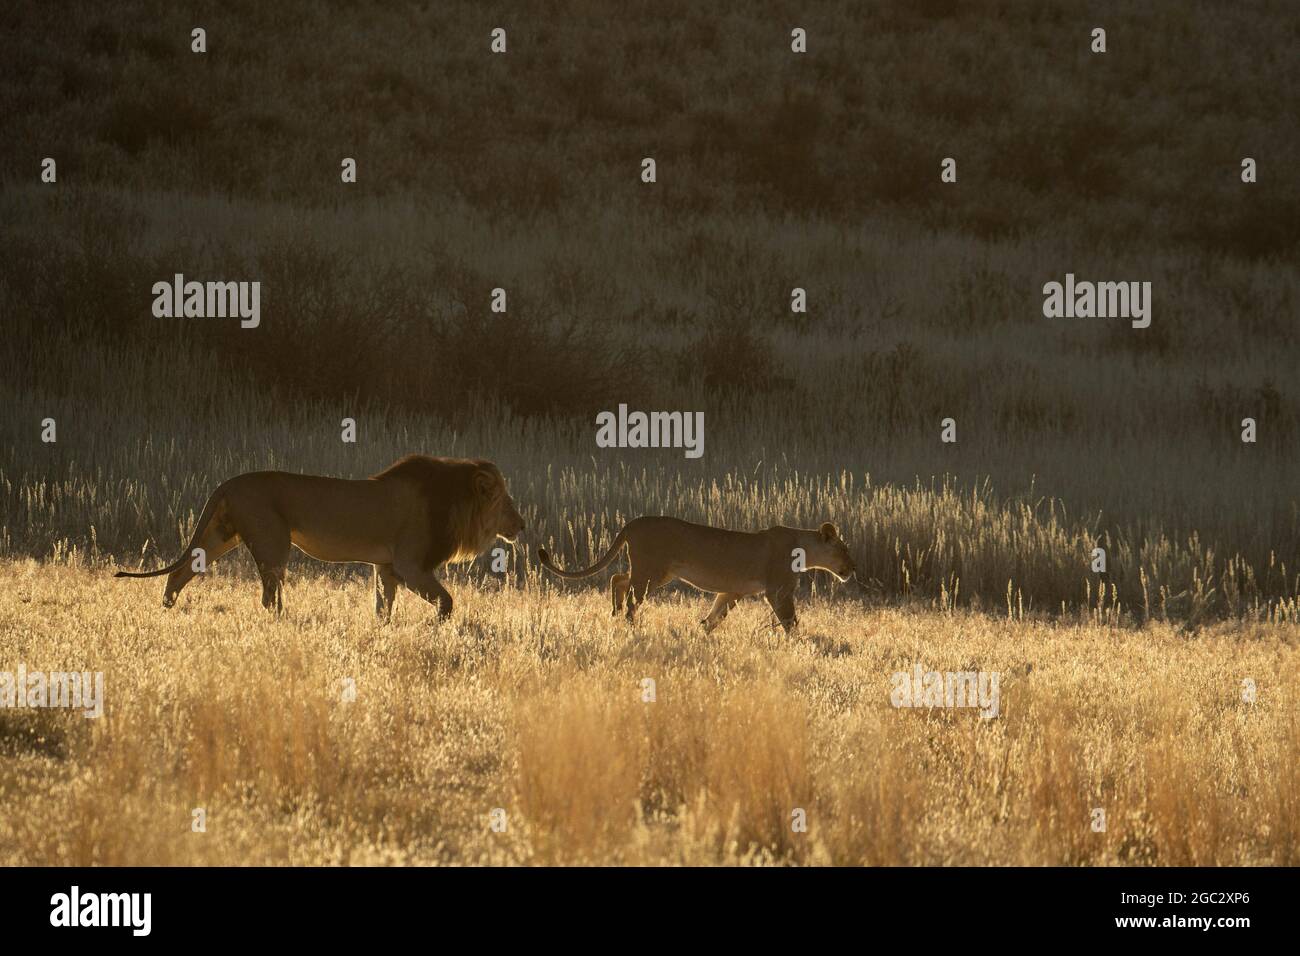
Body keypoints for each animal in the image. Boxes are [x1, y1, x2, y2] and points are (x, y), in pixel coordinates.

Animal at [114, 455, 525, 619]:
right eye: (506, 501)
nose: (521, 526)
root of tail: (227, 482)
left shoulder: (386, 566)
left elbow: (383, 606)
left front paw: (384, 631)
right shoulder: (410, 564)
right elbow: (447, 601)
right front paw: (435, 628)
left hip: (220, 535)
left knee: (179, 572)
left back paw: (166, 610)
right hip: (273, 540)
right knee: (269, 597)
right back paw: (282, 622)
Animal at [538, 516, 856, 632]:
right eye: (844, 549)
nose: (853, 569)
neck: (805, 549)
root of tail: (633, 522)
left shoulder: (733, 589)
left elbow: (716, 614)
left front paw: (703, 632)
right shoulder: (777, 591)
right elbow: (790, 621)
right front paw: (797, 643)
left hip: (656, 572)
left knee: (618, 579)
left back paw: (614, 613)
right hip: (652, 572)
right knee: (630, 596)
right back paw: (630, 623)